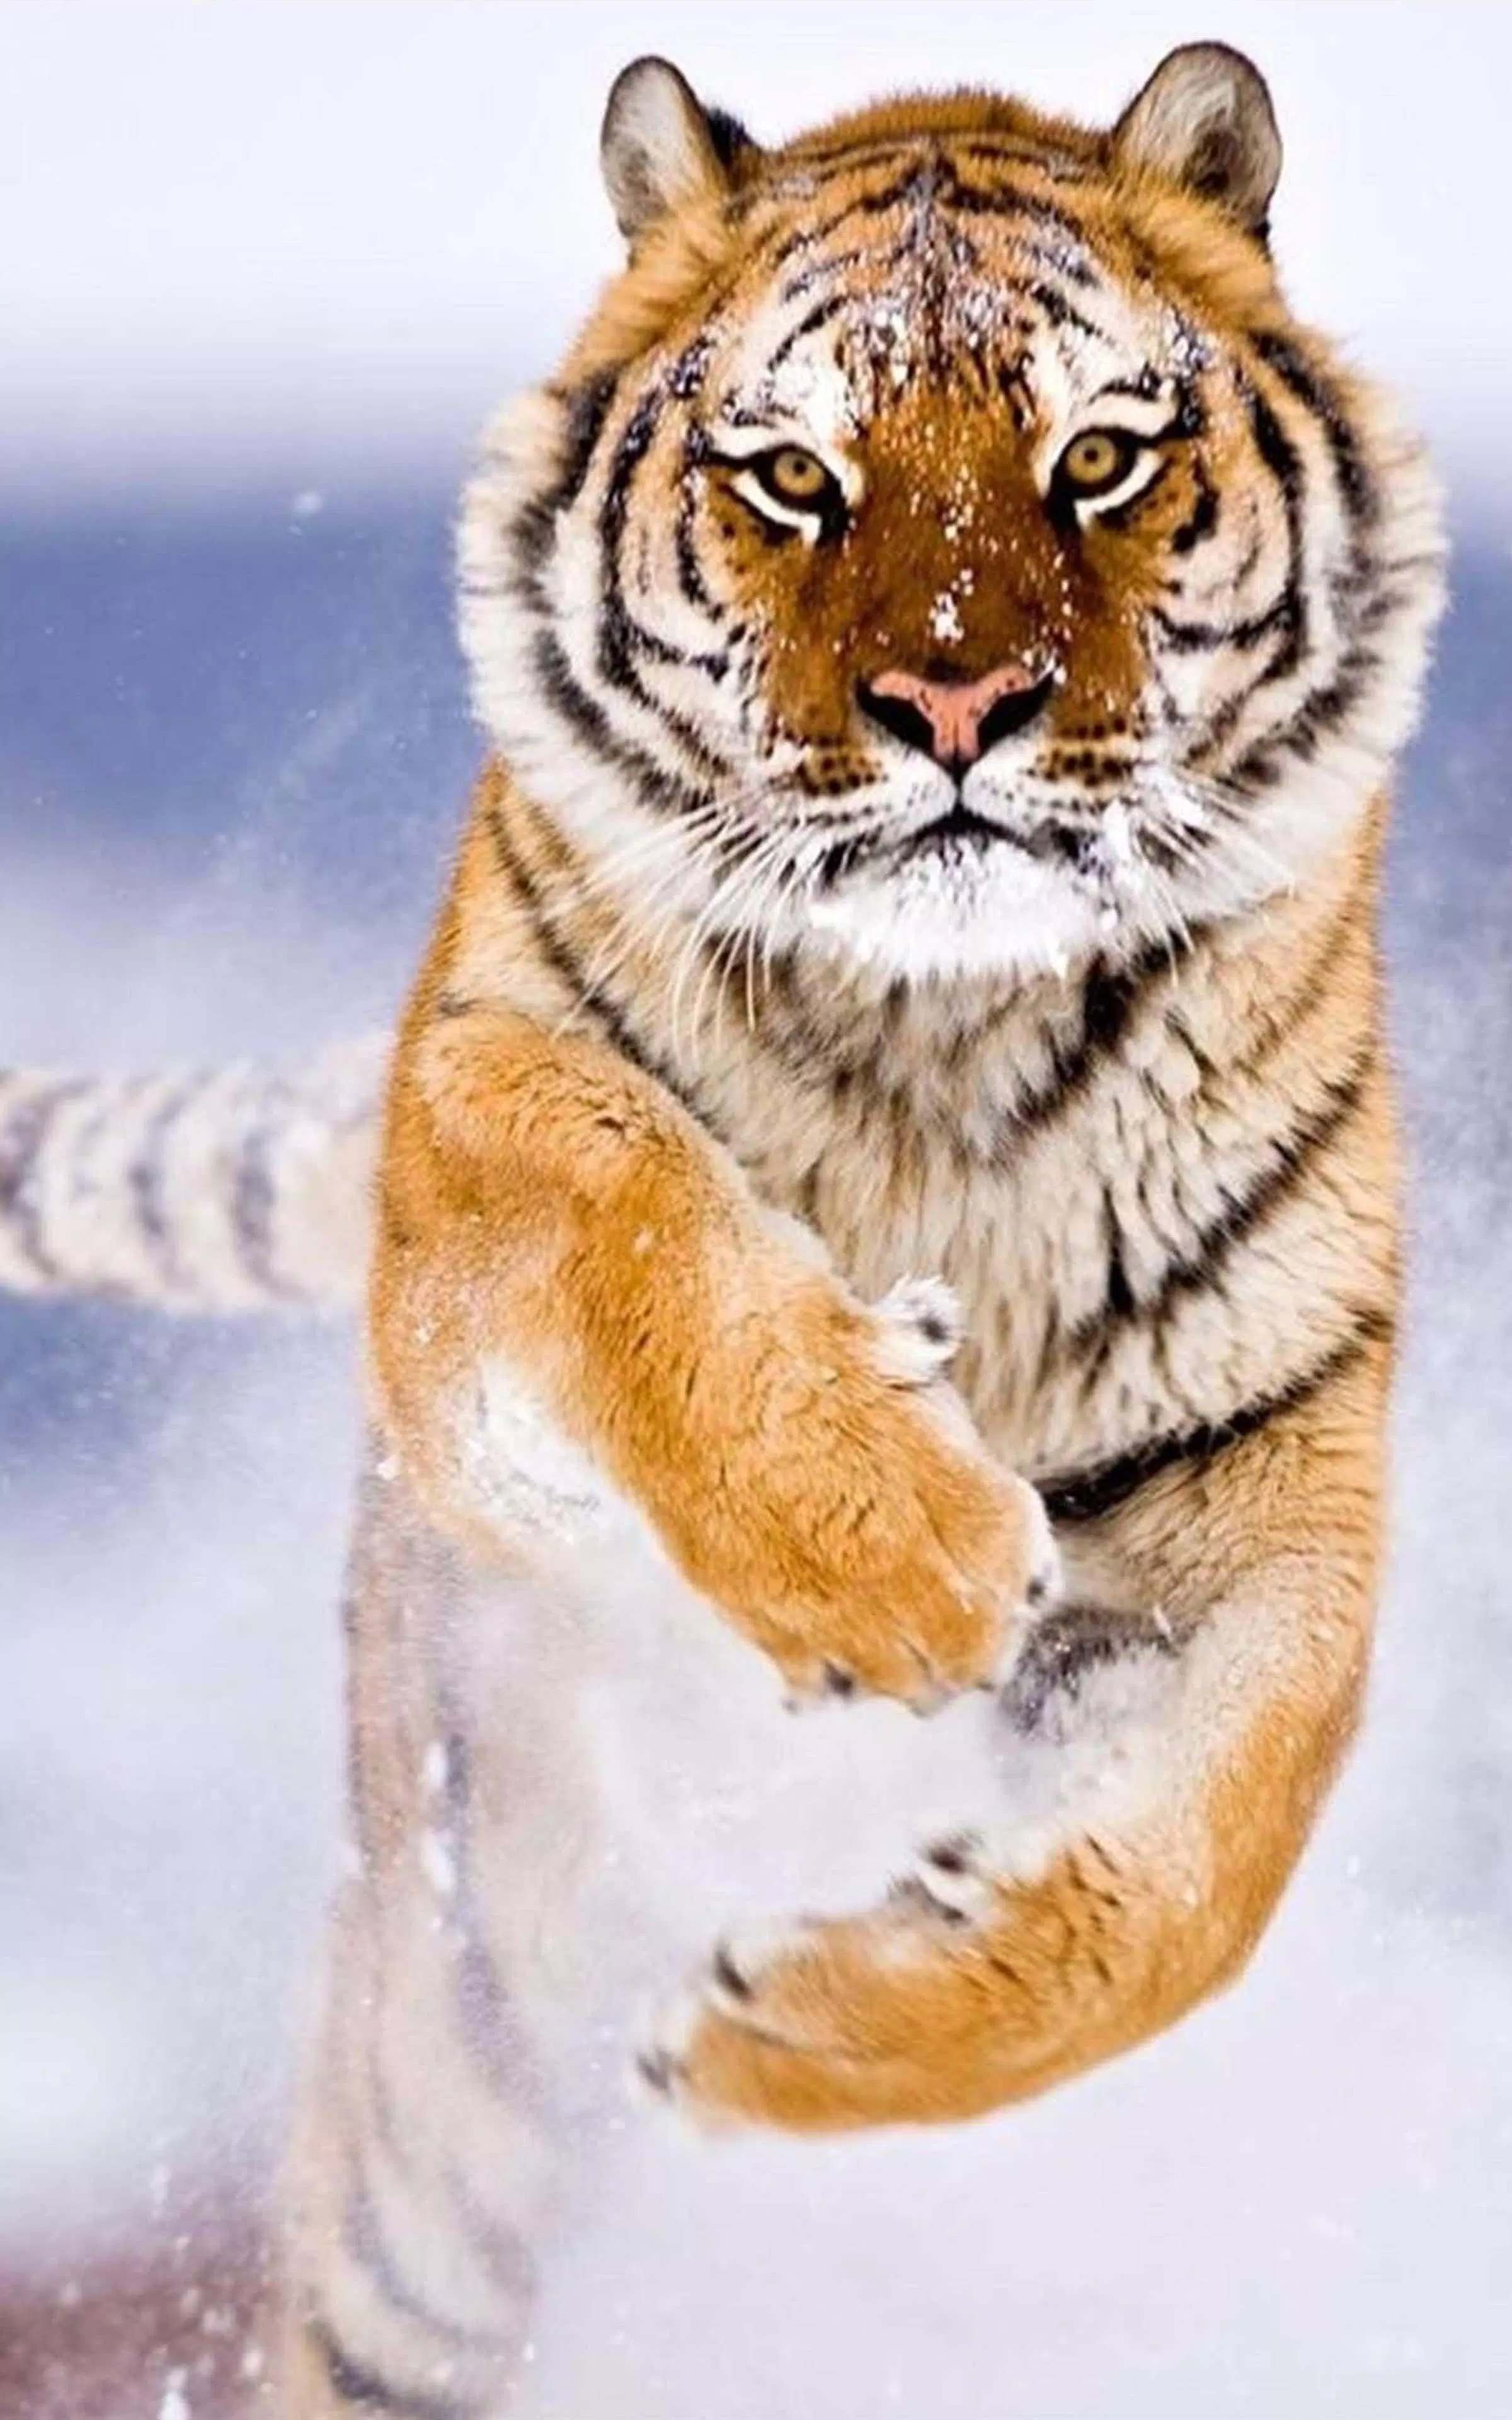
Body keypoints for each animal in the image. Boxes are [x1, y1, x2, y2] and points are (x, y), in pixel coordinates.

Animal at [4, 39, 1444, 2418]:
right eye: (791, 475)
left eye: (1099, 455)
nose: (954, 707)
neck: (954, 1031)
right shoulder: (470, 1175)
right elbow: (626, 1195)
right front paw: (904, 1552)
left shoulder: (1261, 1484)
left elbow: (1193, 1876)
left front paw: (790, 2034)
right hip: (445, 2110)